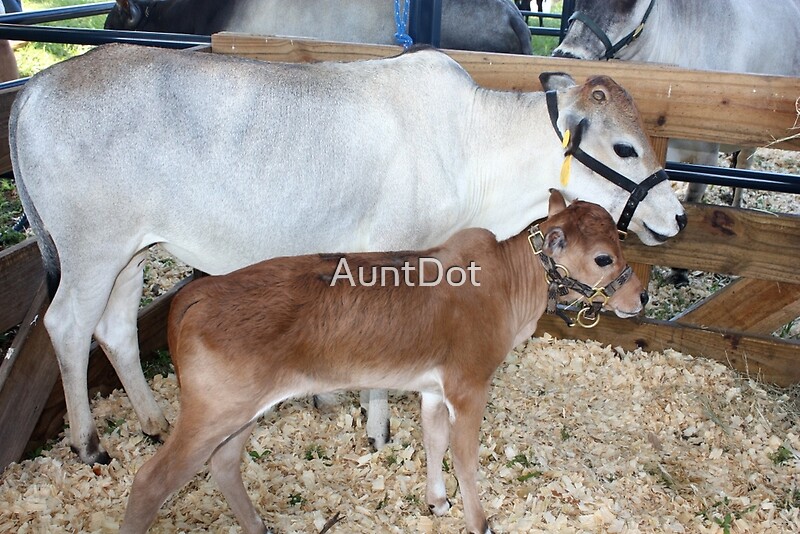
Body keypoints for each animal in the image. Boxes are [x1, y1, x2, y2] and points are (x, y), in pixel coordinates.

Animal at [10, 43, 686, 465]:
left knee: (116, 329)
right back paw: (89, 444)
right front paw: (378, 431)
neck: (472, 149)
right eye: (624, 148)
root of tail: (39, 84)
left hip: (131, 252)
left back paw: (152, 422)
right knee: (67, 326)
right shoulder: (394, 251)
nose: (676, 215)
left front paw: (333, 400)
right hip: (91, 250)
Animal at [119, 190, 647, 534]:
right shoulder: (469, 385)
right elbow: (465, 456)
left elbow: (435, 440)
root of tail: (197, 294)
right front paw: (479, 522)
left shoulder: (434, 387)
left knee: (224, 464)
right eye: (603, 258)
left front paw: (437, 501)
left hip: (240, 411)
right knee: (149, 482)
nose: (641, 295)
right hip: (213, 410)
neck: (507, 284)